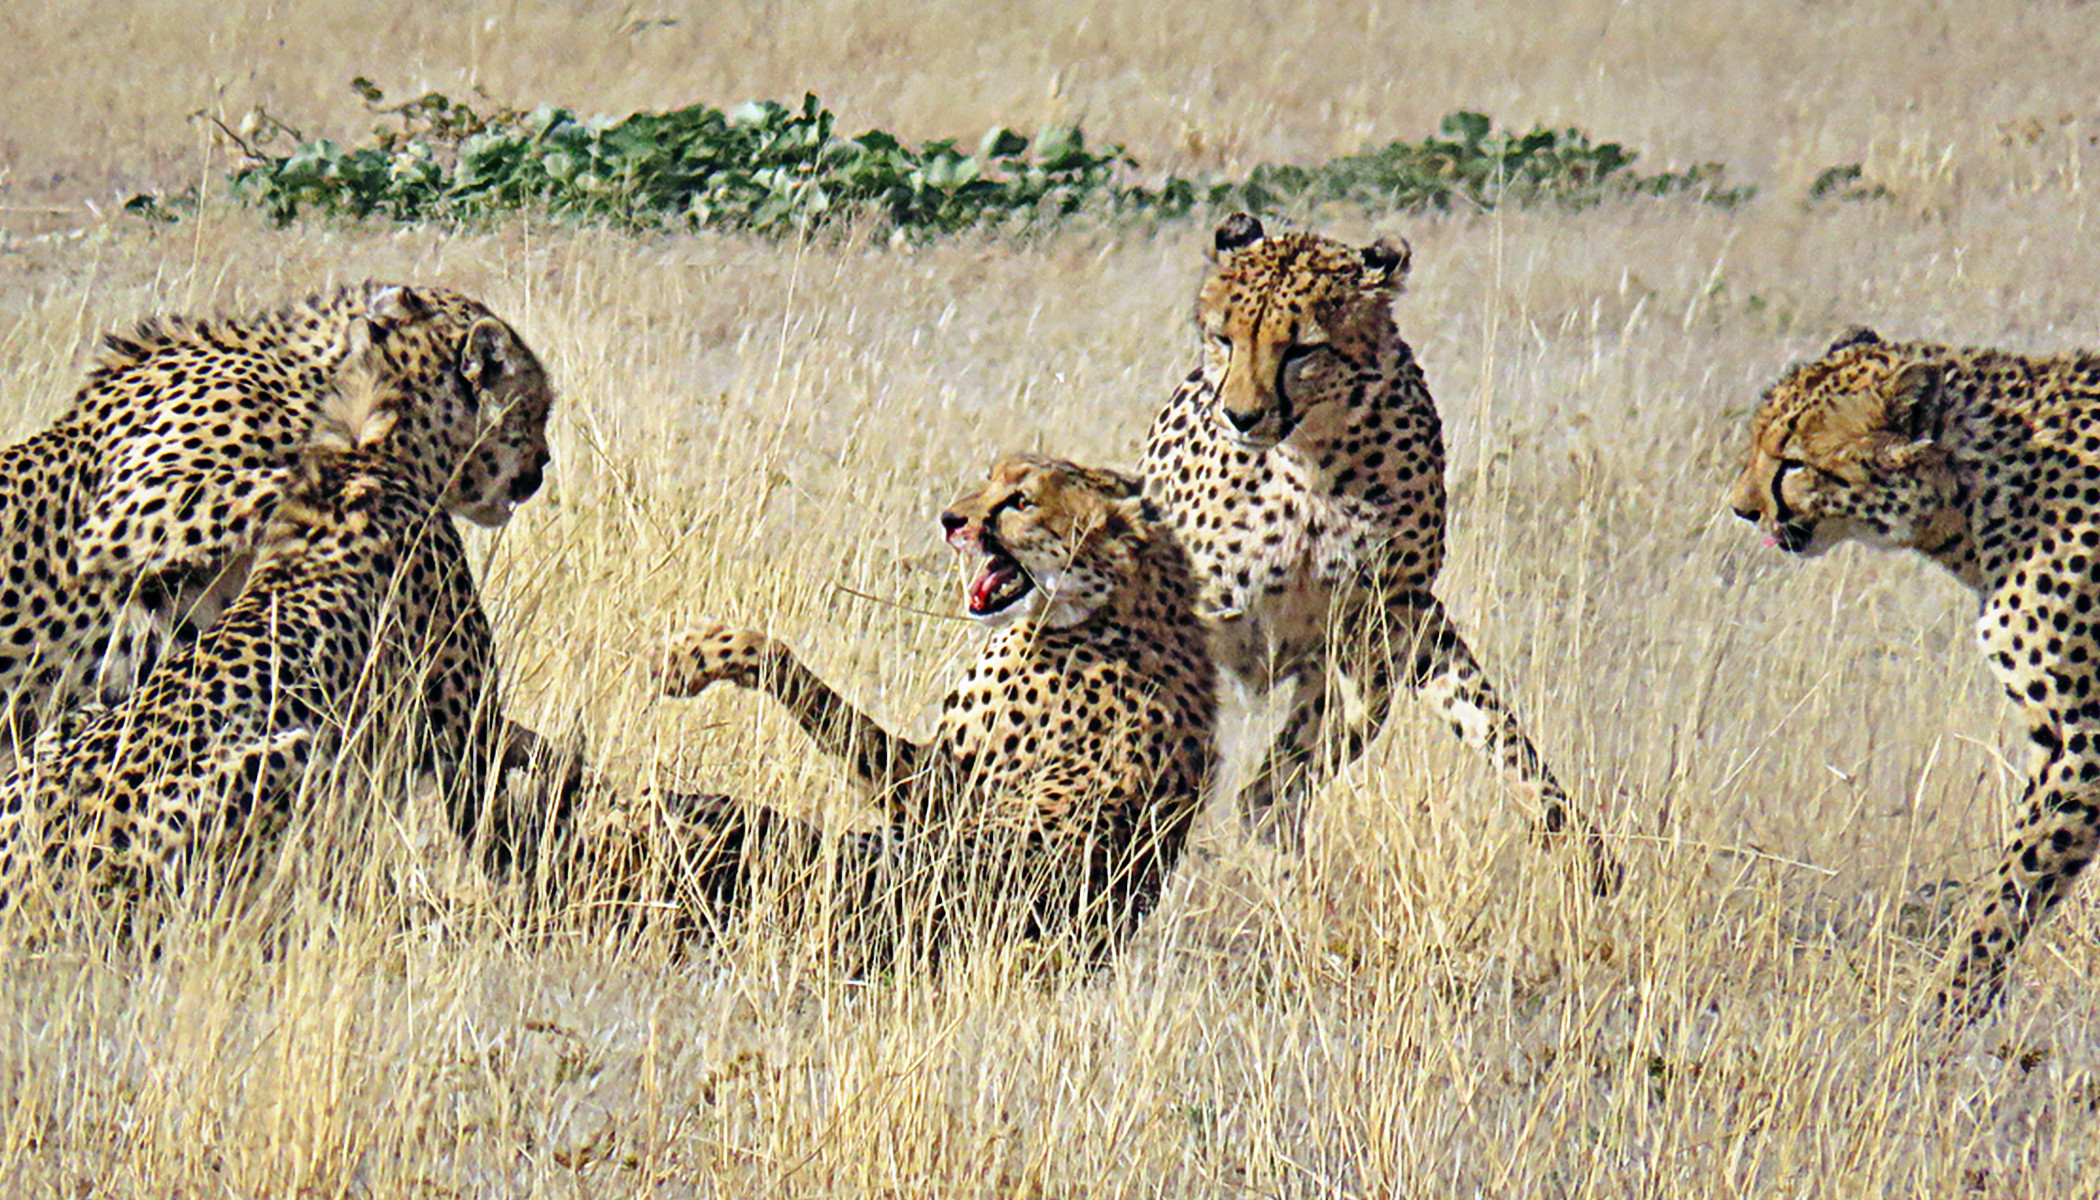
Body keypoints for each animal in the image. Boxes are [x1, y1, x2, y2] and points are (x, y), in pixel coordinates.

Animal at [0, 319, 540, 916]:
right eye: (535, 409)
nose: (542, 465)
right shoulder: (462, 731)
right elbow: (505, 815)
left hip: (66, 722)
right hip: (289, 757)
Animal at [648, 454, 1218, 965]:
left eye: (1021, 501)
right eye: (991, 478)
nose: (950, 519)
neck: (1114, 602)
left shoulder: (942, 795)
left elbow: (809, 687)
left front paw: (701, 653)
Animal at [1139, 212, 1619, 895]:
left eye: (1301, 348)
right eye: (1224, 338)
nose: (1240, 415)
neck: (1310, 461)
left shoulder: (1394, 612)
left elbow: (1470, 724)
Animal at [1728, 325, 2100, 1023]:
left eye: (1792, 461)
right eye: (1757, 438)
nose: (1740, 509)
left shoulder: (2083, 739)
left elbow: (2013, 886)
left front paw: (1941, 1011)